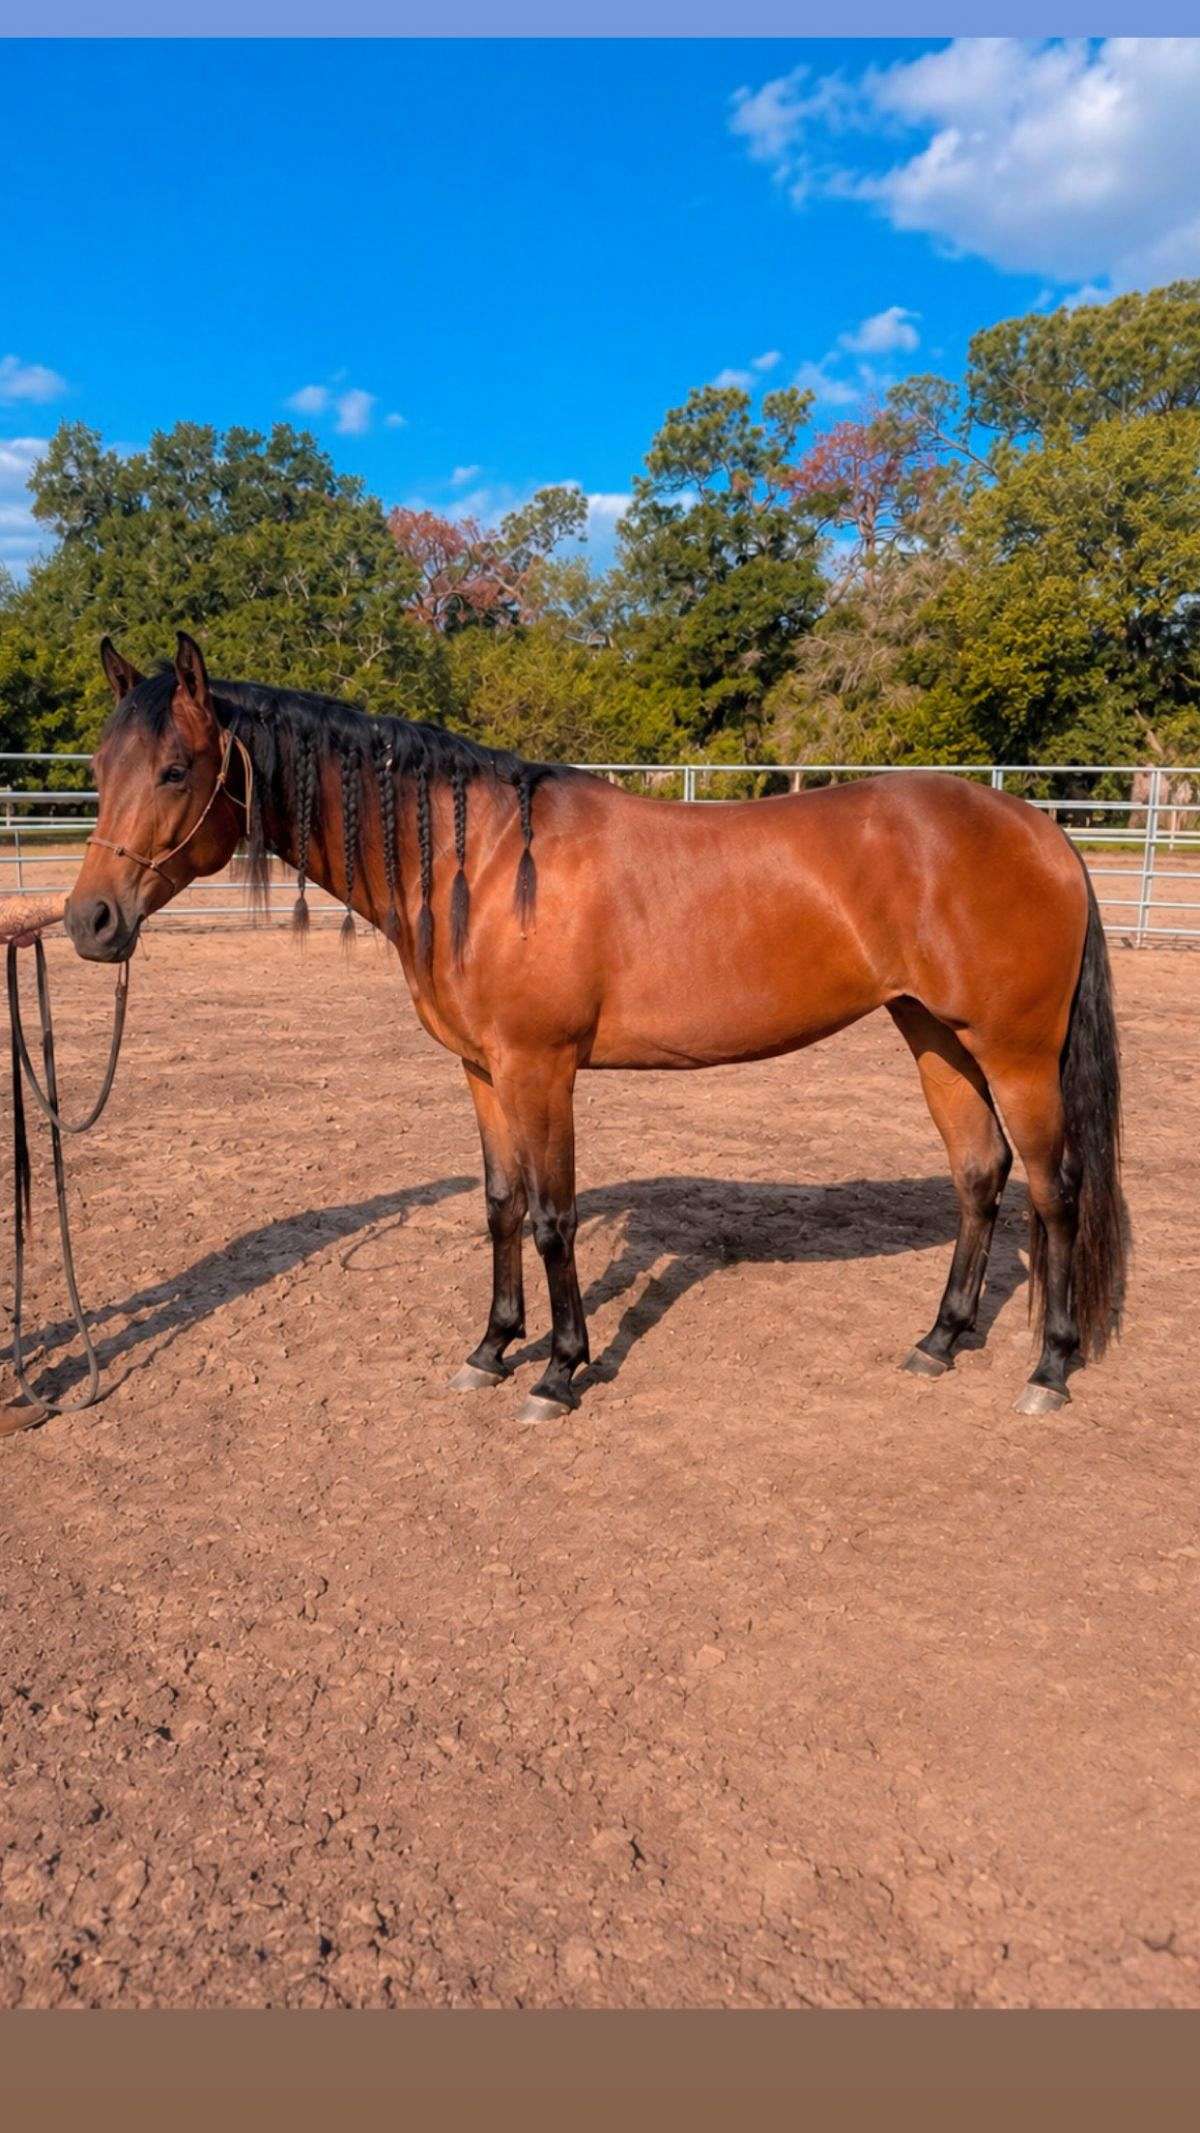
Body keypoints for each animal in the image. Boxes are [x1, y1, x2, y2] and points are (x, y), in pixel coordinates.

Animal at [65, 632, 1126, 1423]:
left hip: (1015, 1052)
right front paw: (490, 1347)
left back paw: (1049, 1369)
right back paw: (940, 1339)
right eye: (98, 767)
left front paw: (557, 1370)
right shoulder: (483, 1072)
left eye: (174, 769)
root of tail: (1043, 829)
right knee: (979, 1174)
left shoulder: (540, 1070)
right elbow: (500, 1204)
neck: (483, 864)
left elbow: (552, 1216)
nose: (90, 922)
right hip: (933, 1034)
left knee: (1055, 1188)